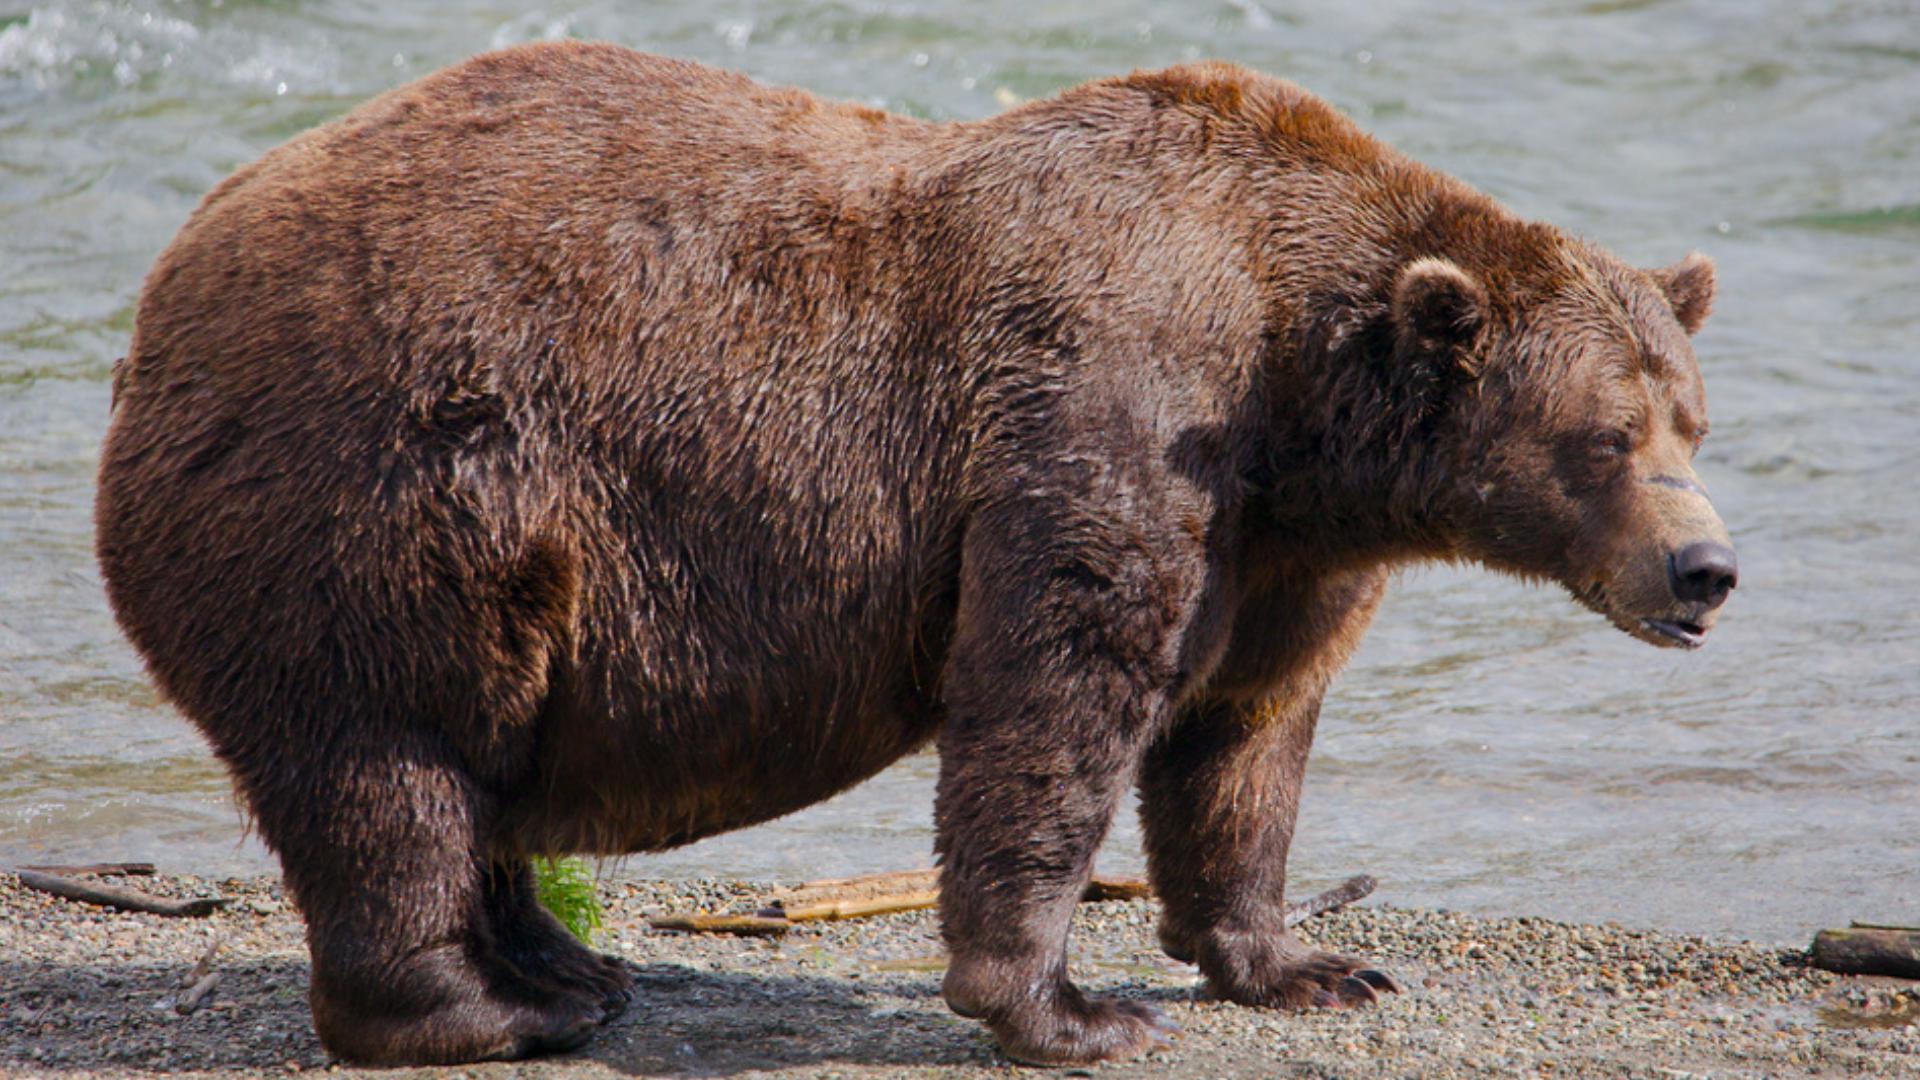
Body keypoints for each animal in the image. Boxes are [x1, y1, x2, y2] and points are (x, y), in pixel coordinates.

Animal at [96, 42, 1737, 1067]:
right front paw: (1070, 1010)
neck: (1300, 390)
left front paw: (1308, 964)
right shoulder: (1110, 409)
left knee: (476, 765)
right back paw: (487, 1011)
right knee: (391, 762)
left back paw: (568, 966)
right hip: (384, 489)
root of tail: (162, 292)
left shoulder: (1282, 544)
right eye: (1606, 438)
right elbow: (1056, 692)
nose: (1705, 572)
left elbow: (1245, 737)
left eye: (1693, 420)